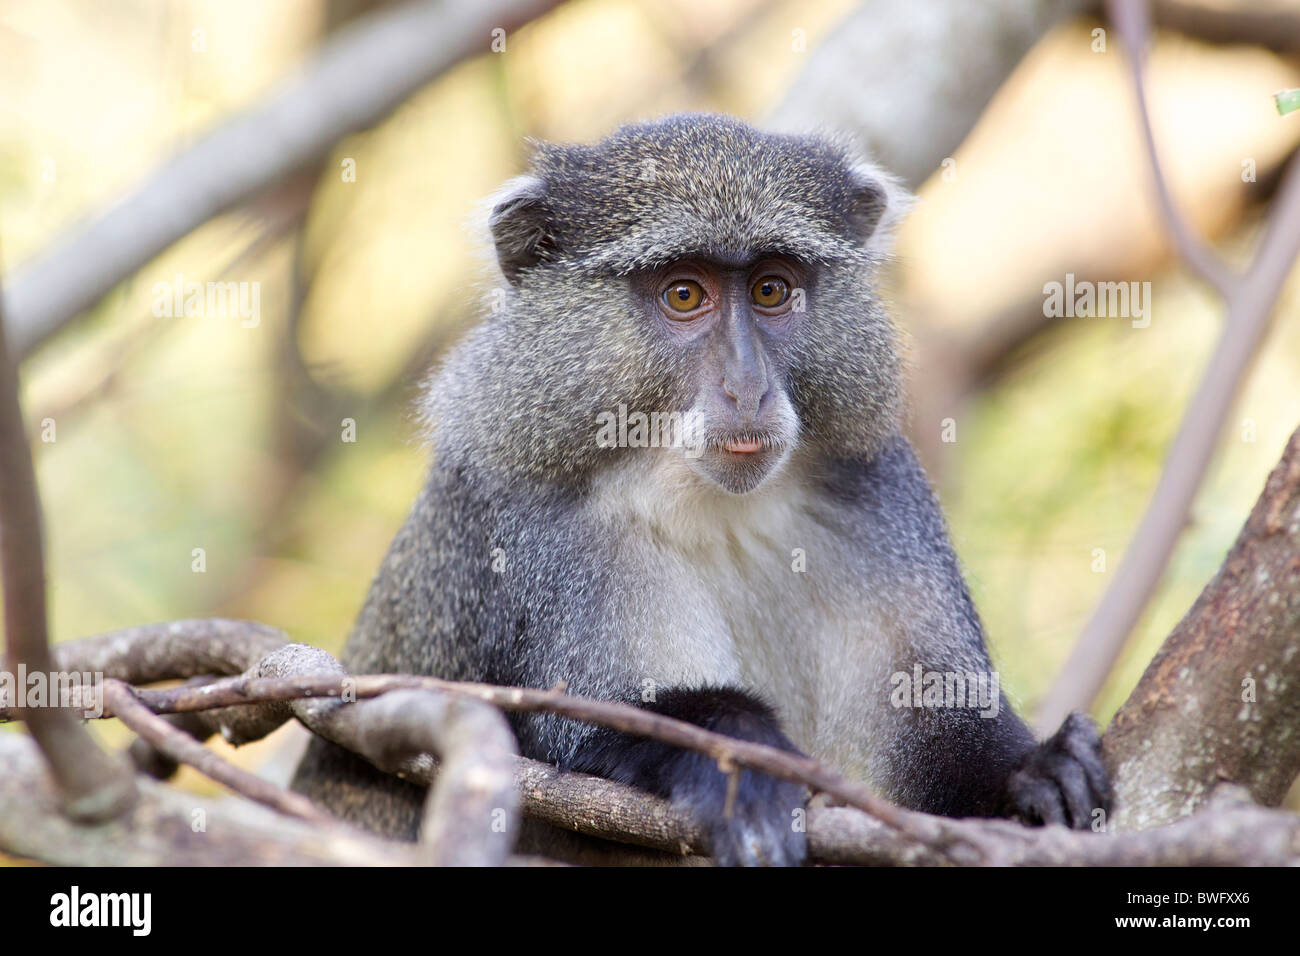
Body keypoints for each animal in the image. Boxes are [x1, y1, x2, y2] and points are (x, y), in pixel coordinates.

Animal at [290, 113, 1111, 866]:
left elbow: (938, 721)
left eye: (773, 288)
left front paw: (1033, 772)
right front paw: (740, 756)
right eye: (685, 294)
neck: (713, 504)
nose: (748, 389)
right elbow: (595, 722)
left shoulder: (877, 493)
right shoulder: (539, 529)